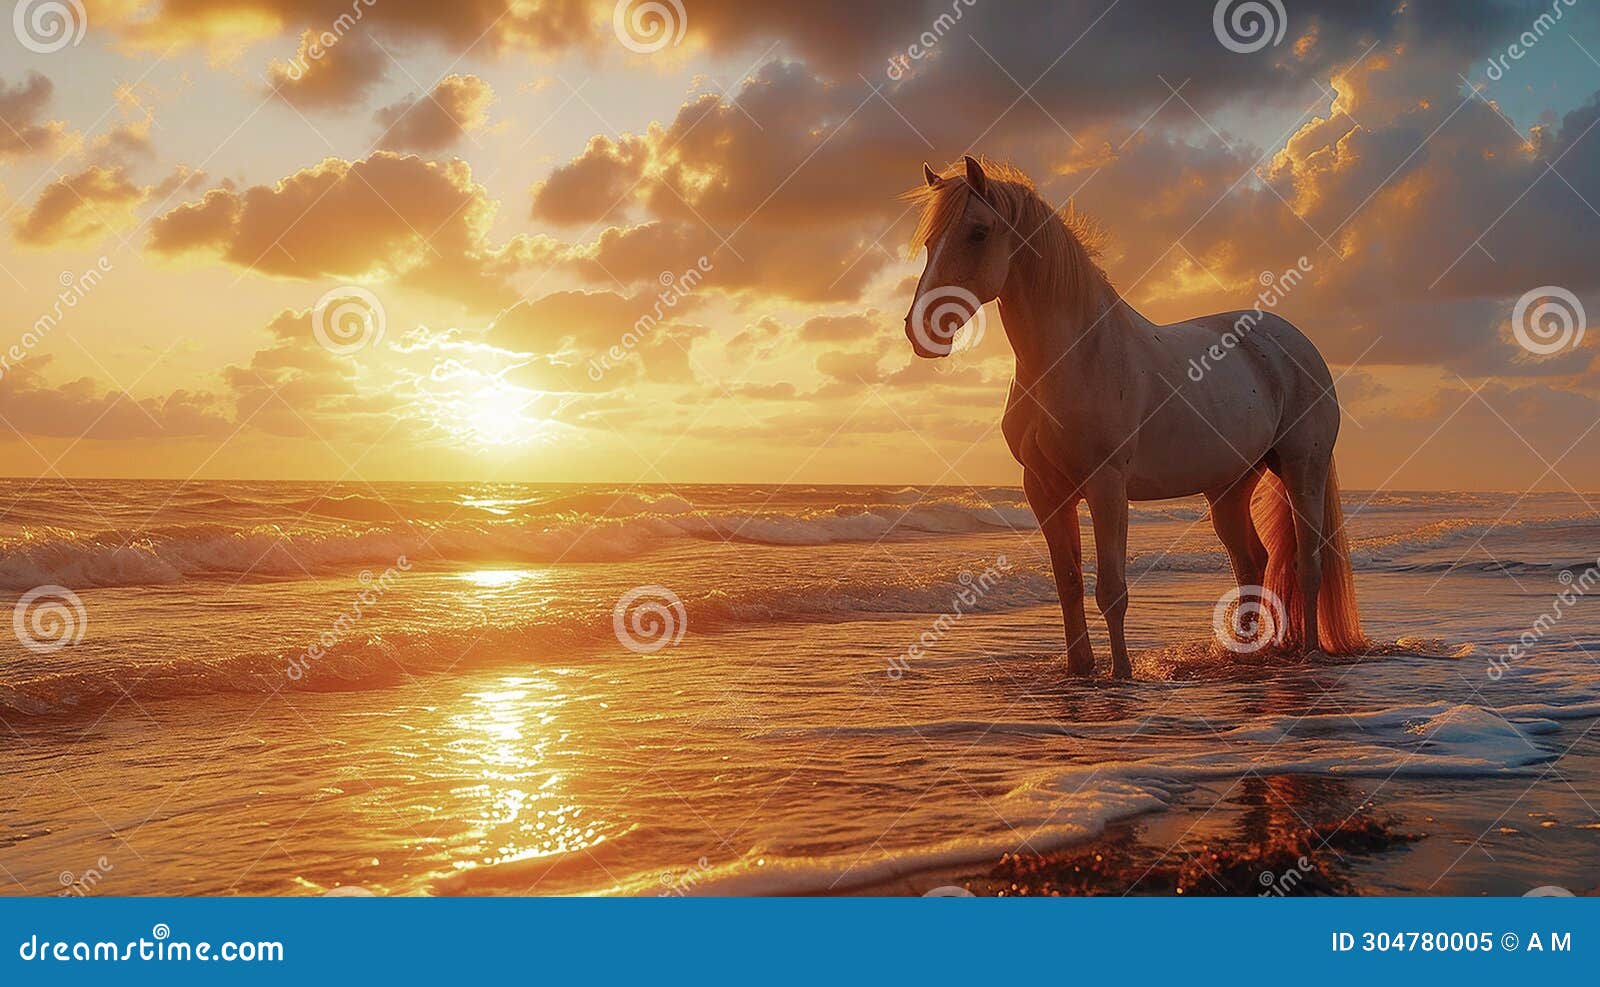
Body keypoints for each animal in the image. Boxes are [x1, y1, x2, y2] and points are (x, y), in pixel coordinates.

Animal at [901, 155, 1364, 678]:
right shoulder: (1044, 488)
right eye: (930, 242)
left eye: (977, 232)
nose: (922, 330)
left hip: (1303, 467)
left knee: (1308, 564)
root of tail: (1298, 344)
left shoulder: (1107, 485)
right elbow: (1068, 582)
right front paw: (1081, 669)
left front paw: (1121, 674)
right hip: (1229, 485)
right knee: (1251, 561)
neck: (1077, 355)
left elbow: (1111, 589)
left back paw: (1308, 652)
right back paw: (1247, 655)